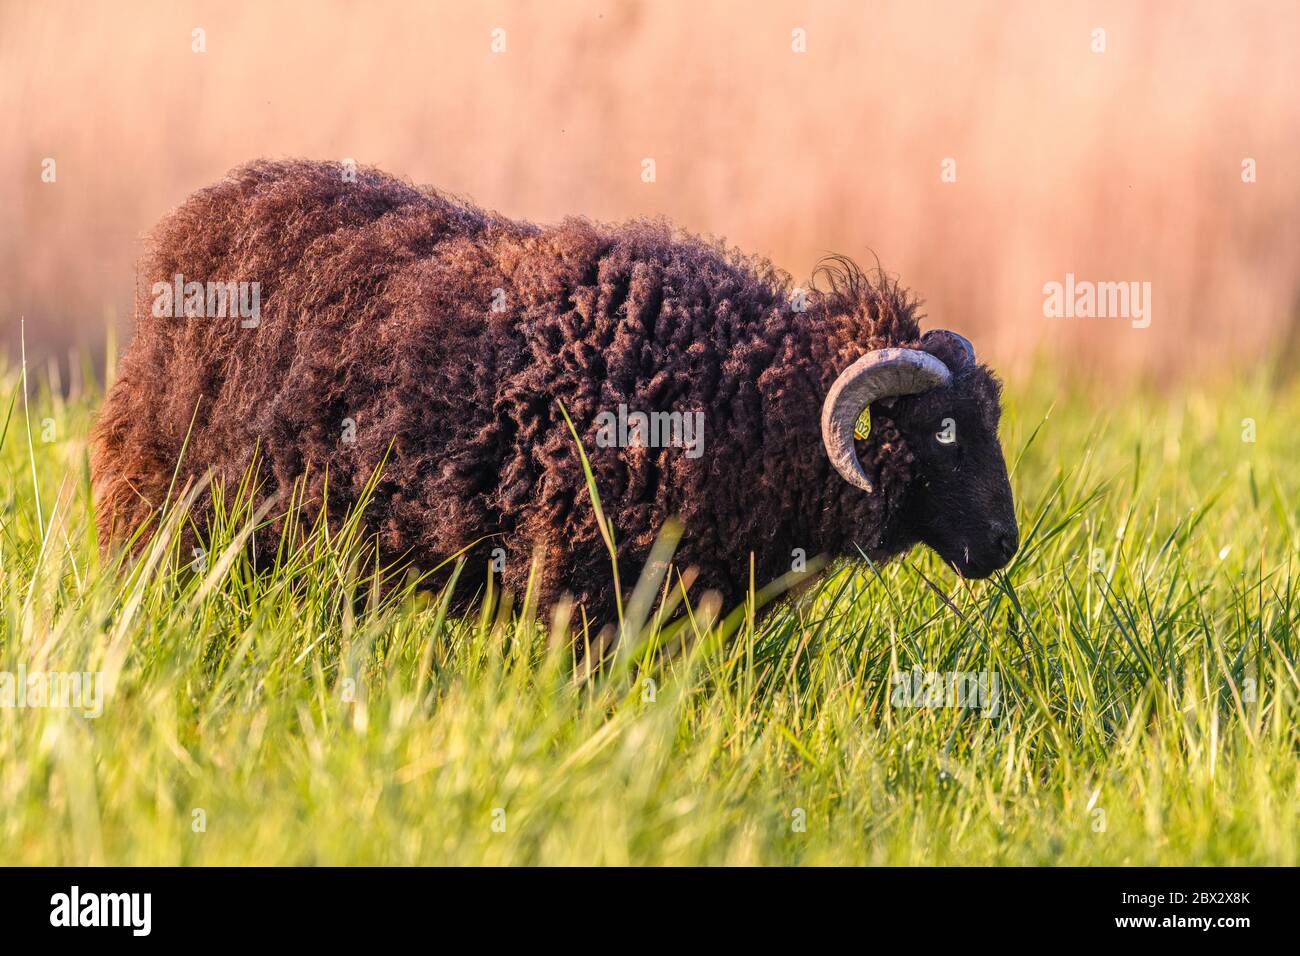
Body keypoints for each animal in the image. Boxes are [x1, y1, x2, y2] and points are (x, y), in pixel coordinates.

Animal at [92, 159, 1018, 625]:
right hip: (168, 499)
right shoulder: (578, 580)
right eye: (941, 431)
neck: (750, 398)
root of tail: (199, 218)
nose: (1005, 546)